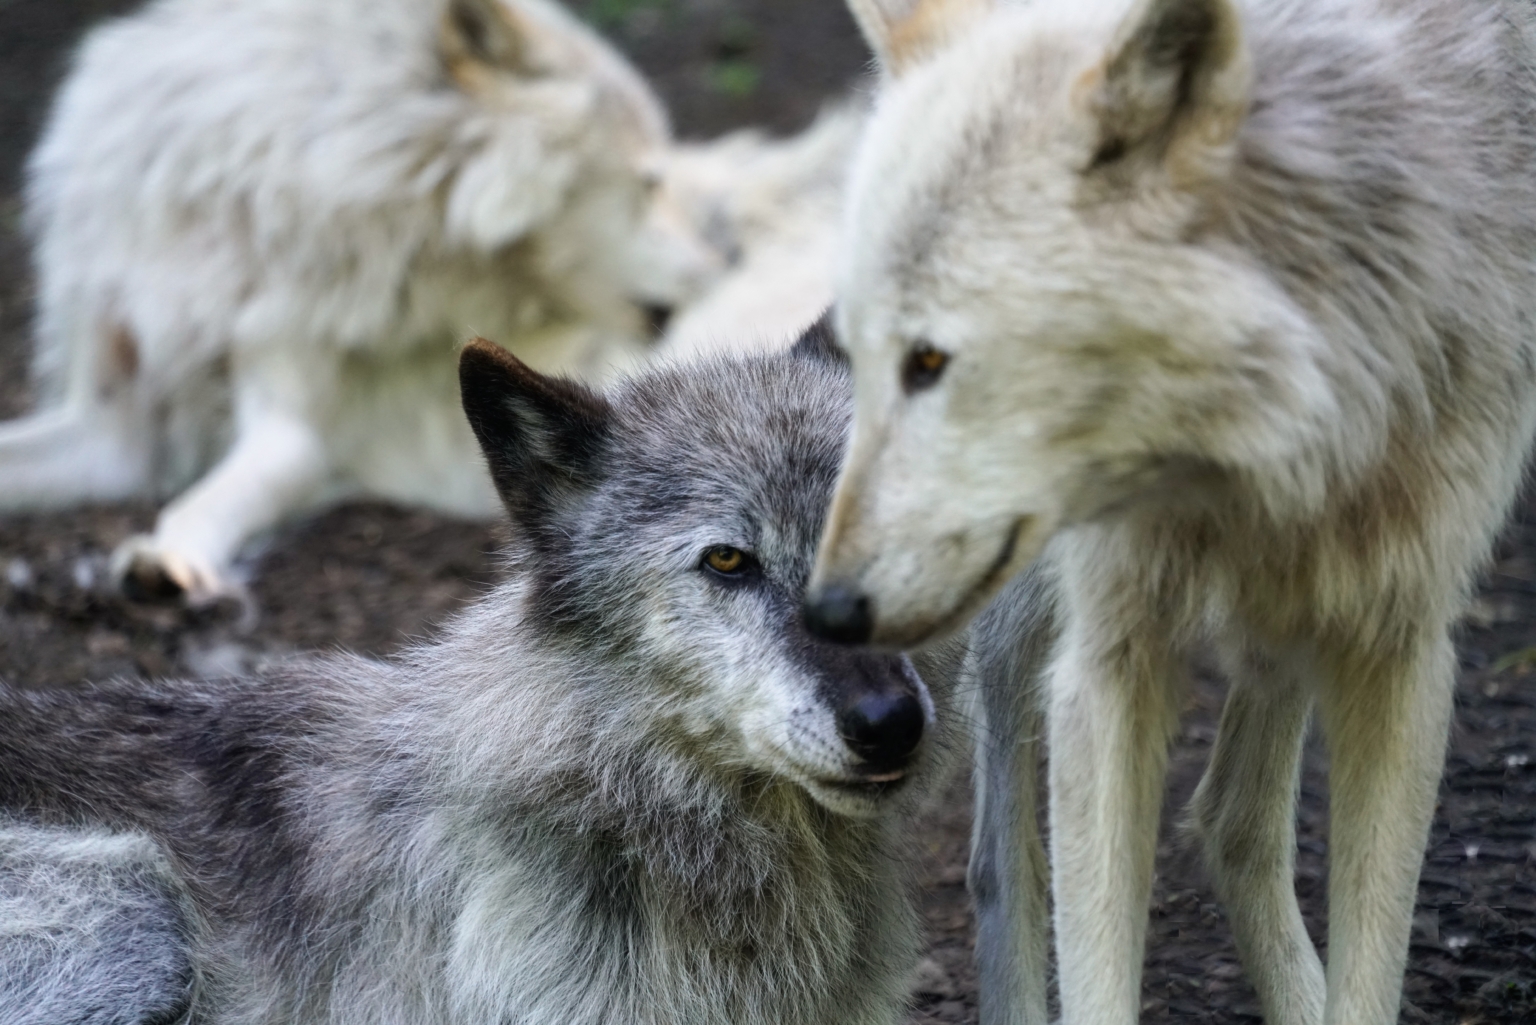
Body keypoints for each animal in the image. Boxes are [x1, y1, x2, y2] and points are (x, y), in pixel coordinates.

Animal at [0, 0, 719, 603]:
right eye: (650, 183)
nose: (721, 266)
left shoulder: (293, 431)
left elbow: (210, 497)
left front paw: (168, 557)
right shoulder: (114, 427)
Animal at [803, 0, 1536, 1023]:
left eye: (931, 361)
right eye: (864, 357)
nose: (825, 609)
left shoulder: (1402, 647)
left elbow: (1371, 972)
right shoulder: (1109, 656)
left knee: (1230, 815)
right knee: (1000, 858)